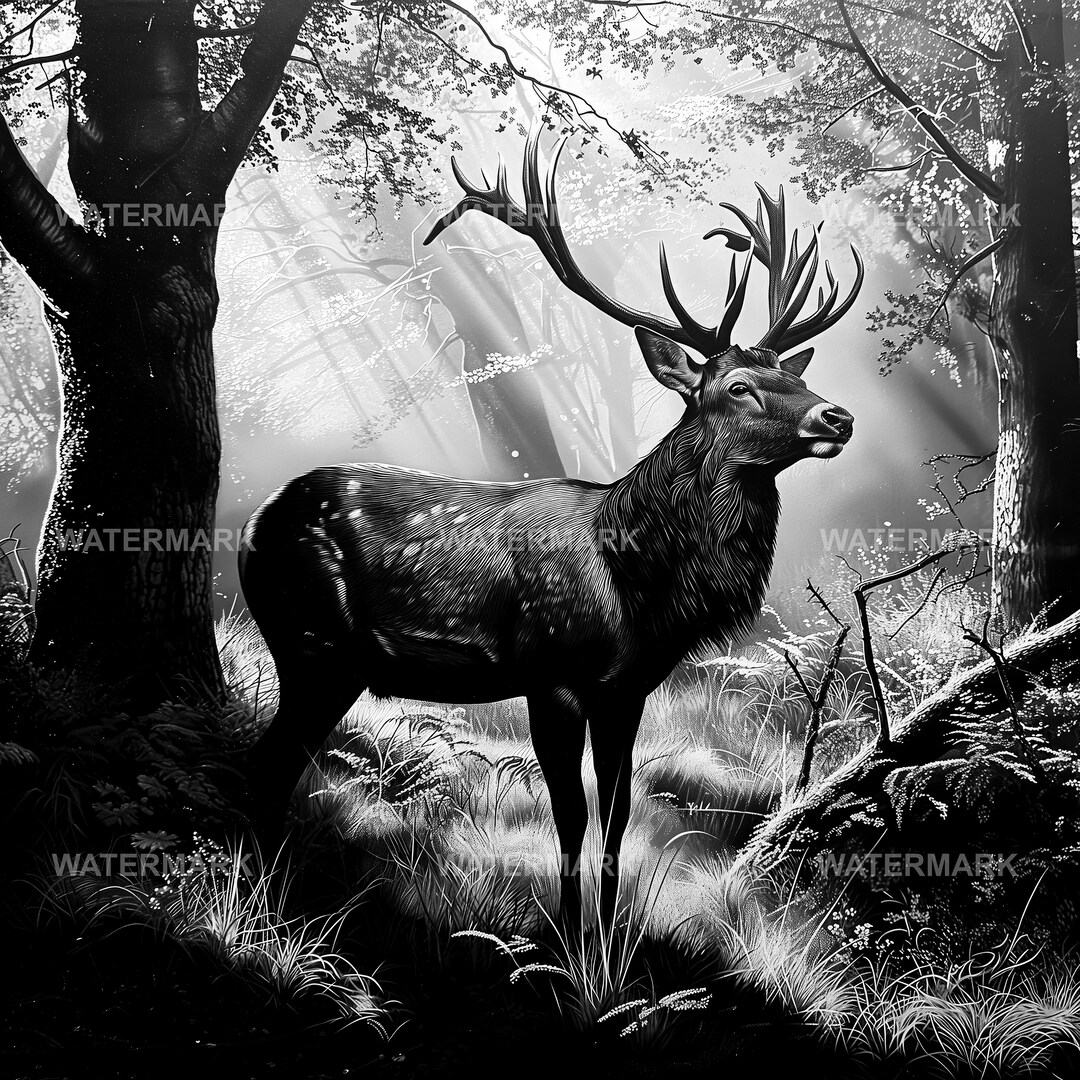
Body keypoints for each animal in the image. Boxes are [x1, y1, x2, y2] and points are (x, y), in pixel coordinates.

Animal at [239, 130, 862, 924]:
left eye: (797, 376)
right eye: (738, 387)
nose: (837, 416)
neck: (634, 589)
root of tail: (254, 522)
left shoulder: (629, 689)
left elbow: (618, 814)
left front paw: (610, 930)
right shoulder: (553, 673)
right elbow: (569, 814)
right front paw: (568, 940)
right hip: (310, 641)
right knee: (268, 763)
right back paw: (264, 904)